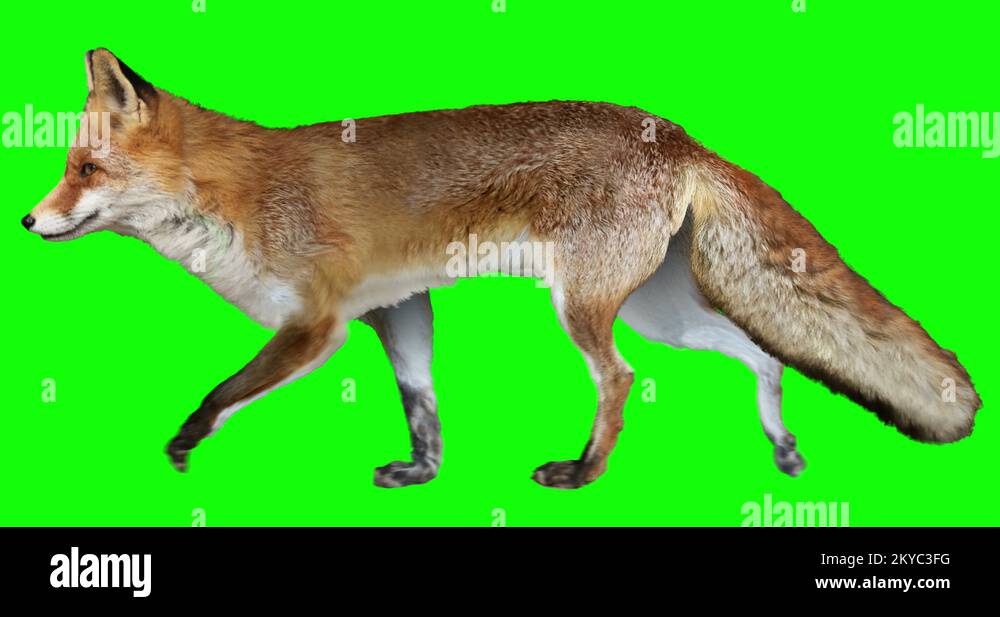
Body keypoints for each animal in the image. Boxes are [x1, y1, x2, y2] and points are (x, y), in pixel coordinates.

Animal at [22, 49, 981, 488]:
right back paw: (781, 443)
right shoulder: (395, 308)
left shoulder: (317, 323)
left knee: (620, 380)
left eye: (83, 170)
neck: (239, 198)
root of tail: (675, 133)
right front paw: (423, 474)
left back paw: (584, 473)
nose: (28, 220)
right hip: (664, 312)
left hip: (588, 309)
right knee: (764, 353)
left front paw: (186, 439)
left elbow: (225, 387)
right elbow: (422, 402)